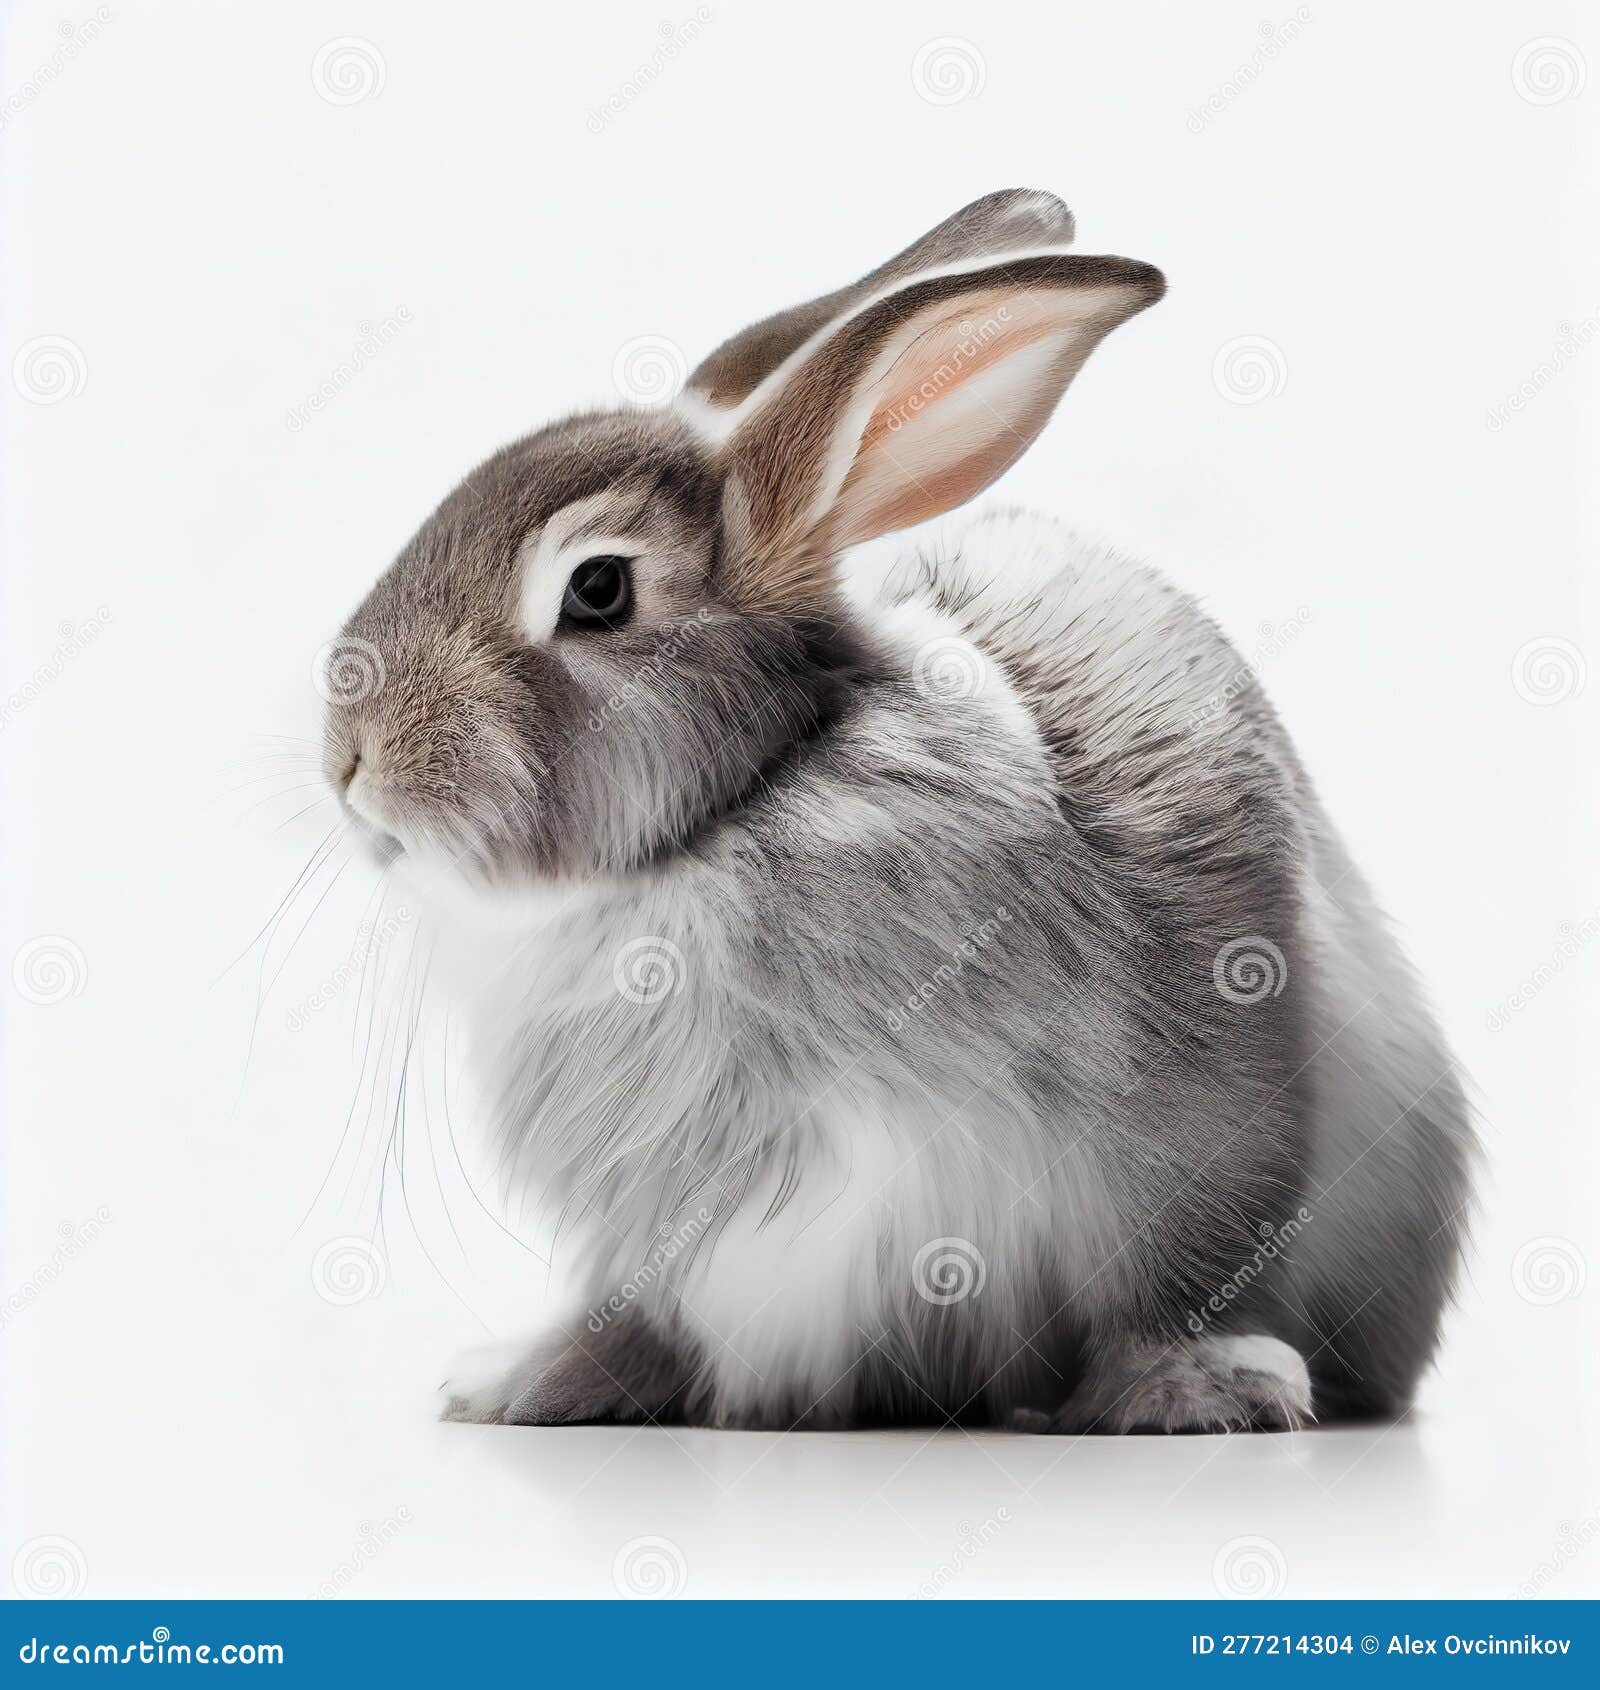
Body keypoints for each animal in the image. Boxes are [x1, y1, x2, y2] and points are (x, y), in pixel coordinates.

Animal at [321, 189, 1472, 1433]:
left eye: (597, 588)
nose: (347, 761)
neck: (741, 812)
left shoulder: (1199, 1117)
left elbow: (1184, 1268)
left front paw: (1201, 1386)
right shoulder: (653, 1224)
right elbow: (640, 1309)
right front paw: (526, 1377)